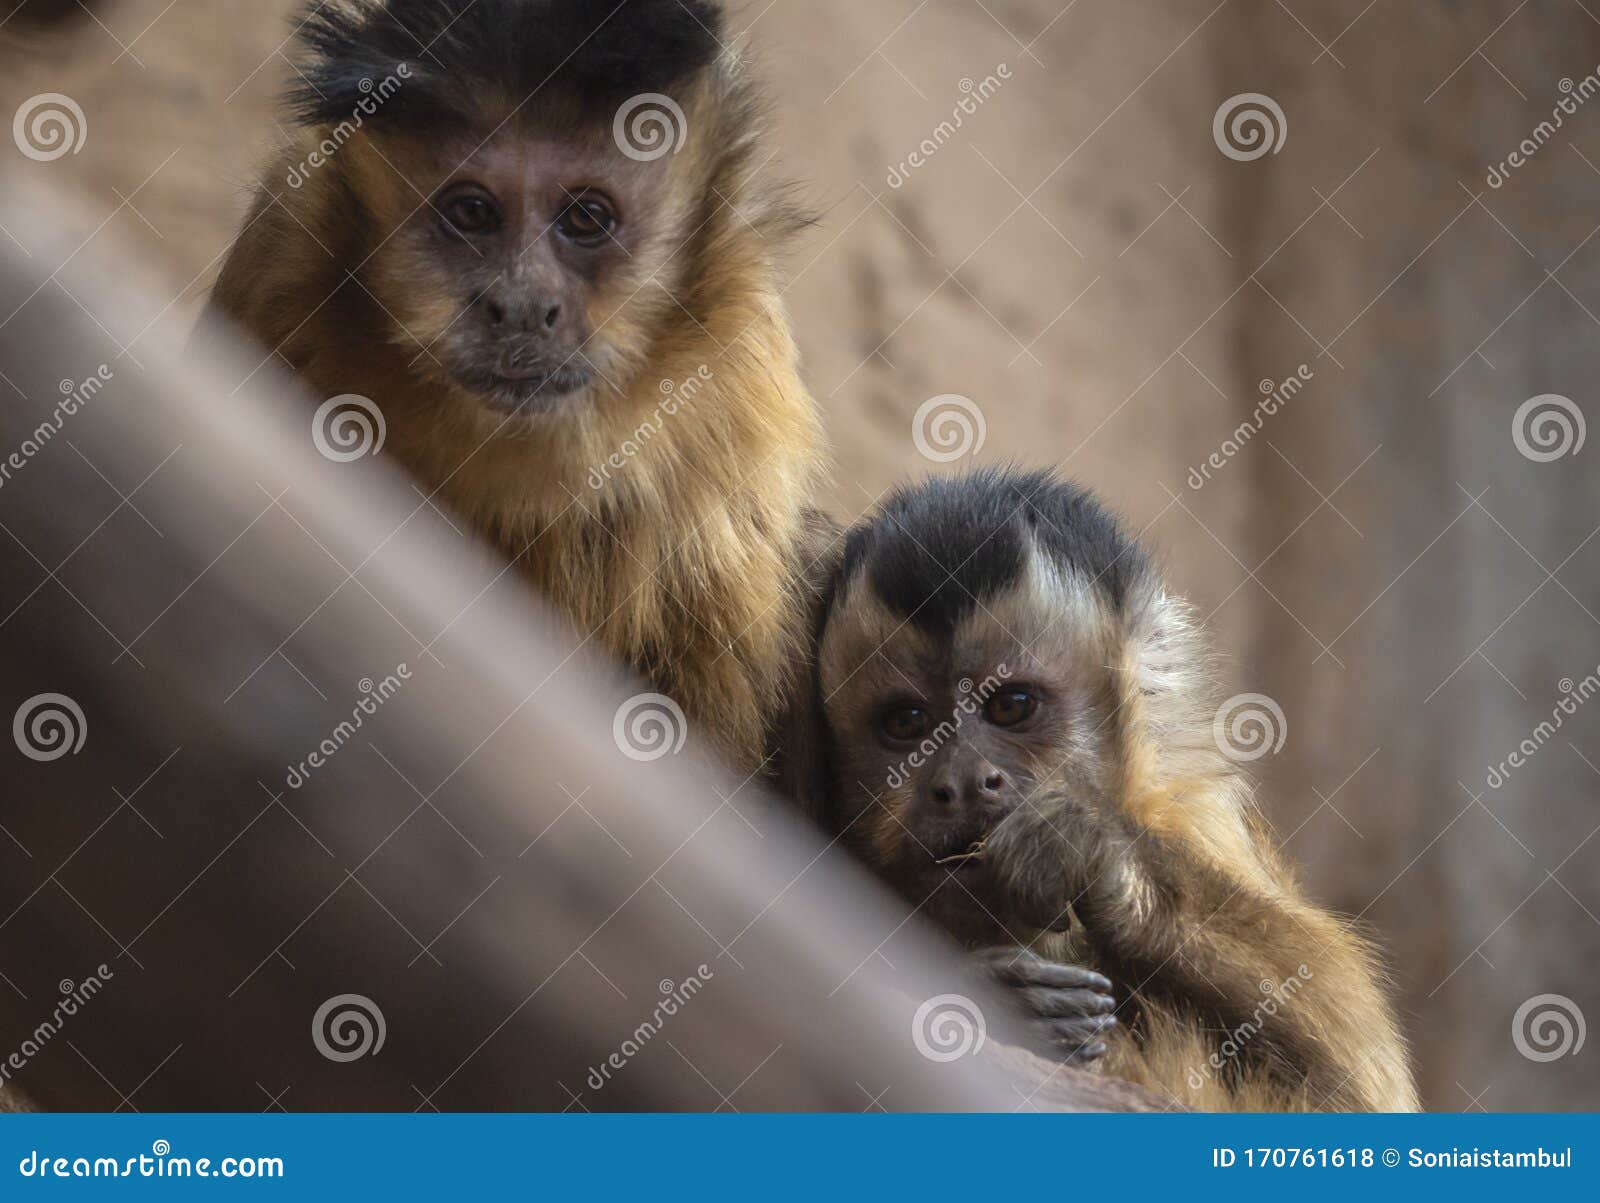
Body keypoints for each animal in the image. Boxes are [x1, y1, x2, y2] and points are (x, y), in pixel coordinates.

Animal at [812, 467, 1418, 1111]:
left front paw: (1102, 860)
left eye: (1011, 705)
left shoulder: (1197, 815)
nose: (965, 783)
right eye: (906, 723)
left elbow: (1360, 1098)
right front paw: (996, 1002)